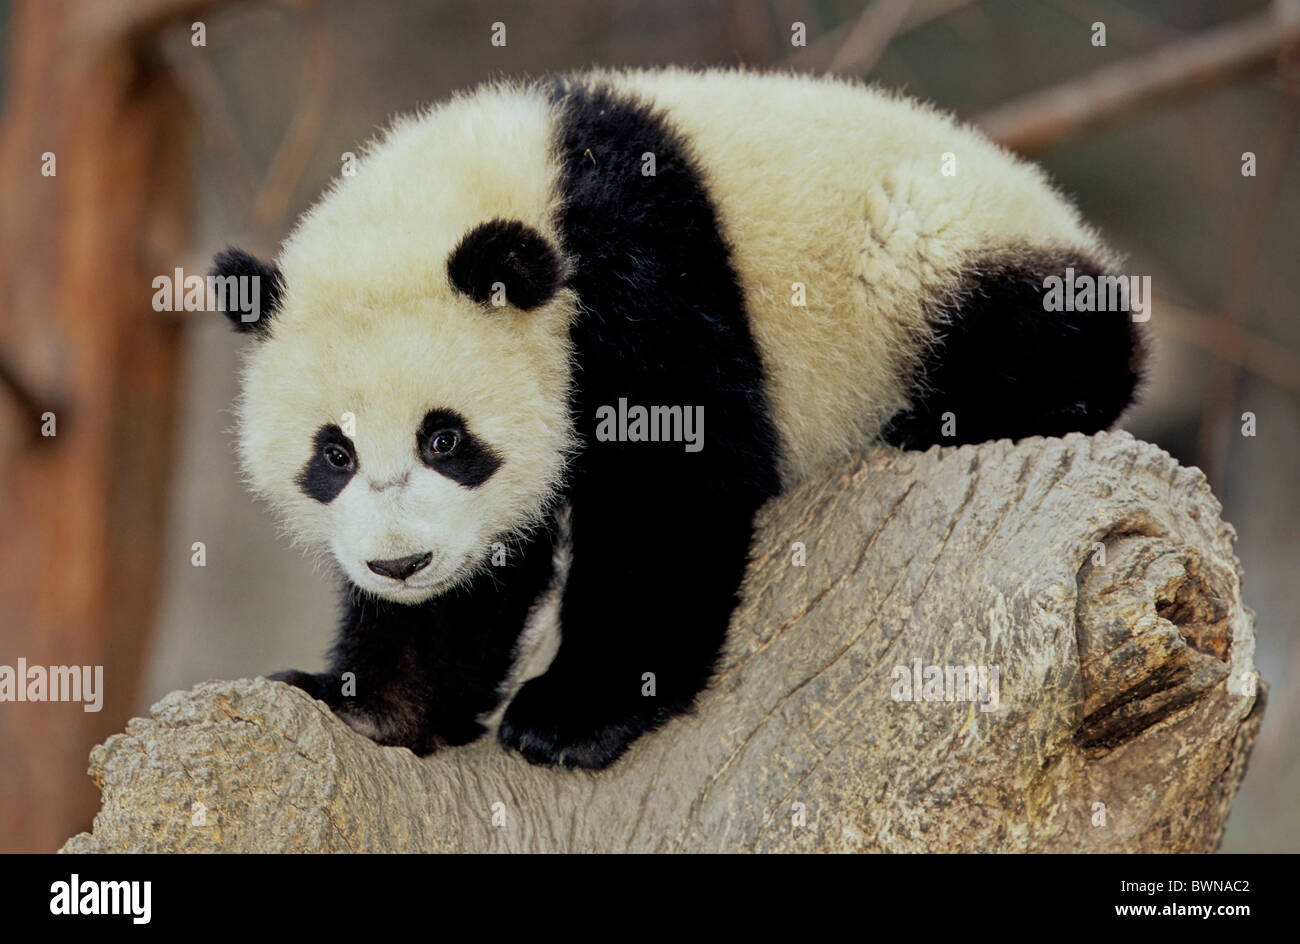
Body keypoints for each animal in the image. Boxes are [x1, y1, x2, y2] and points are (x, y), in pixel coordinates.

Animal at [212, 67, 1144, 770]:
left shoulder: (644, 270)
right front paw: (372, 704)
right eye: (333, 455)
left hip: (929, 251)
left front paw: (572, 715)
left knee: (1035, 328)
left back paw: (943, 414)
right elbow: (478, 584)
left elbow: (672, 487)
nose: (401, 563)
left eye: (446, 439)